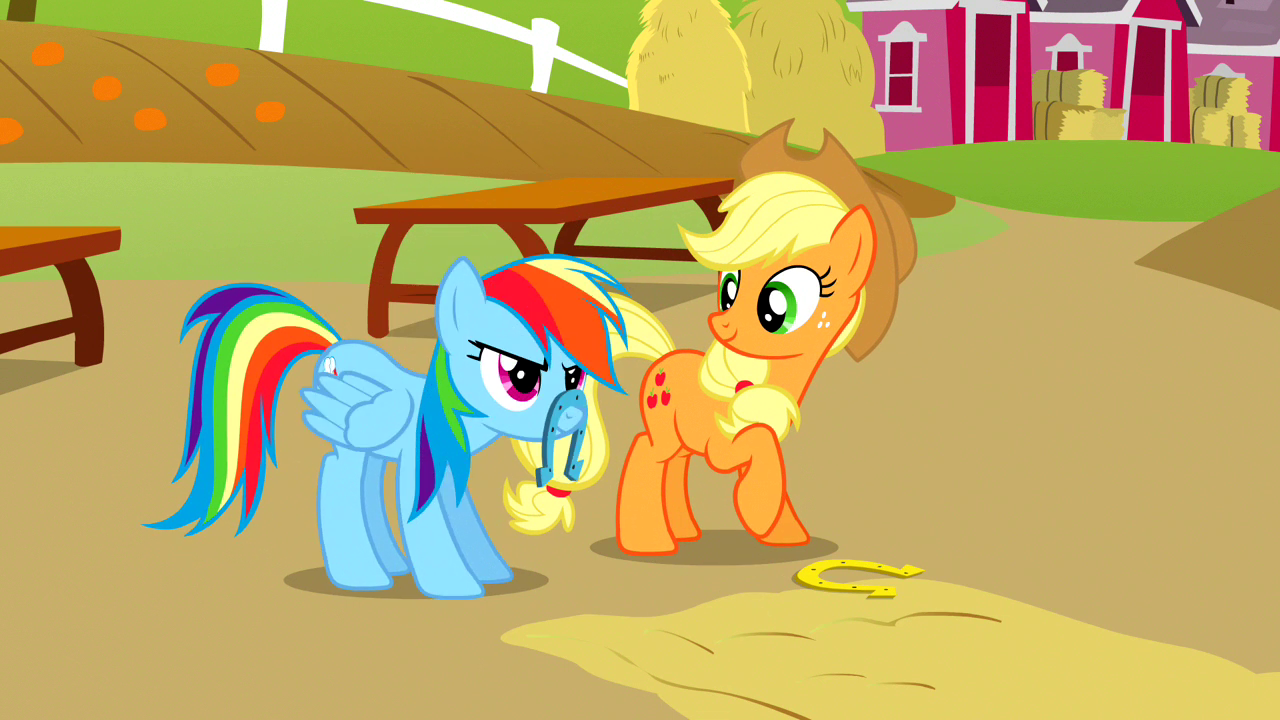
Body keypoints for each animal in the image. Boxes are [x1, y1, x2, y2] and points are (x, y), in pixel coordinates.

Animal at [147, 255, 668, 598]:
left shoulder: (451, 473)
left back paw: (390, 567)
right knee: (339, 481)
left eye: (576, 375)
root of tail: (332, 349)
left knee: (361, 485)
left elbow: (461, 520)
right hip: (351, 443)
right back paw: (361, 577)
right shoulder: (425, 470)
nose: (573, 409)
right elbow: (430, 526)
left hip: (374, 452)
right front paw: (455, 587)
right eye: (520, 377)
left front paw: (491, 573)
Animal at [614, 121, 919, 555]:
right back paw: (648, 542)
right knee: (646, 452)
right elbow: (759, 443)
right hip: (663, 436)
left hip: (682, 441)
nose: (722, 325)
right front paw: (761, 510)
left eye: (777, 306)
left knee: (675, 468)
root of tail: (663, 361)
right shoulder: (725, 448)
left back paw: (684, 533)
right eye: (729, 288)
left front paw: (786, 532)